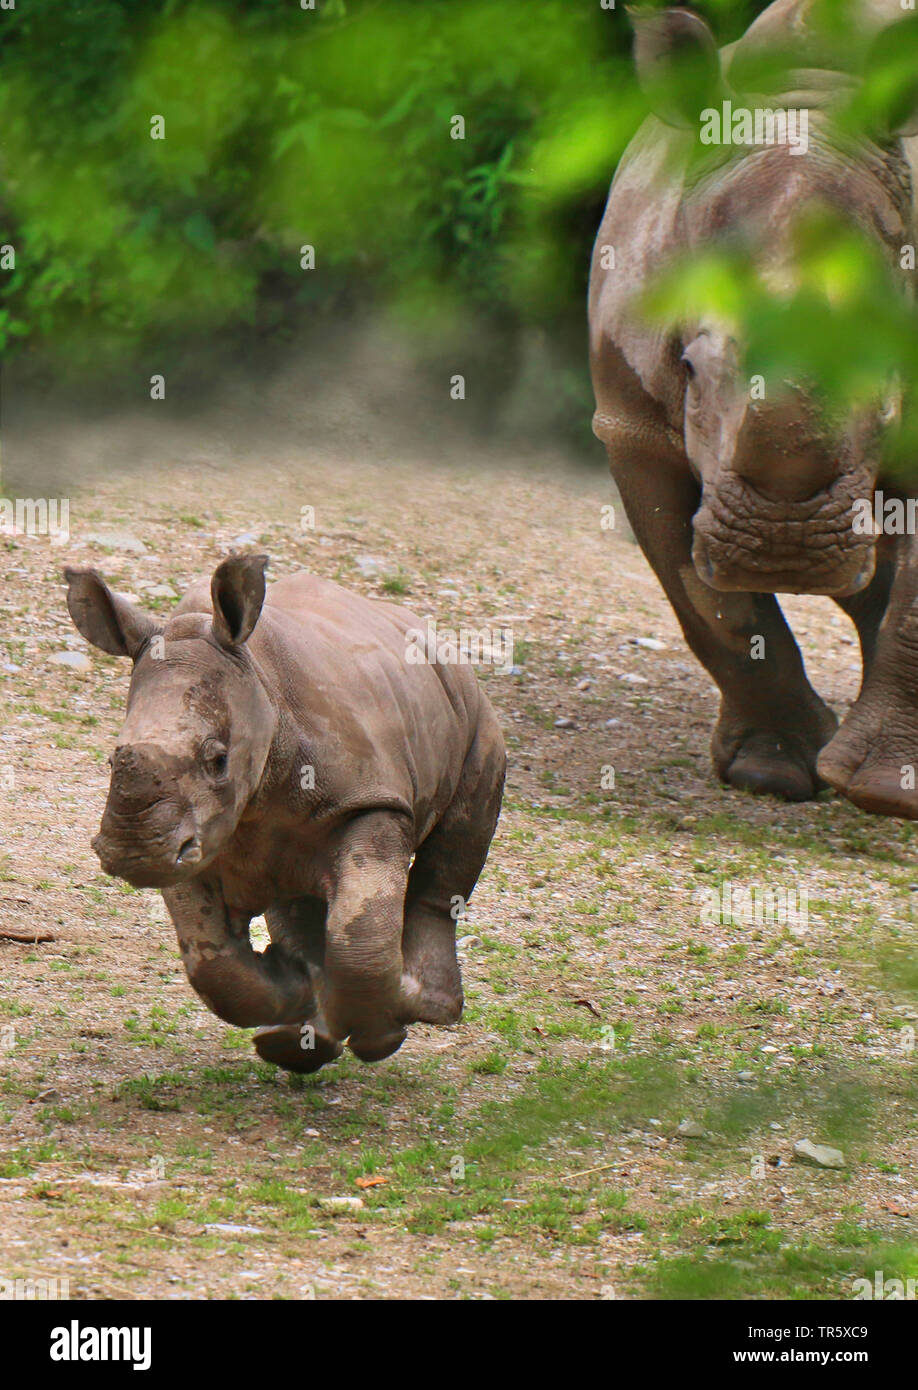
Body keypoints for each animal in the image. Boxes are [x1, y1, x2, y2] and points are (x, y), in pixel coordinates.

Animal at [64, 555, 505, 1073]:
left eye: (219, 760)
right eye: (113, 759)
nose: (131, 851)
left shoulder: (368, 800)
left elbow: (358, 931)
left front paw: (380, 1034)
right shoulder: (196, 837)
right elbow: (211, 959)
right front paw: (291, 987)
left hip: (474, 713)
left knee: (453, 850)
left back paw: (425, 1007)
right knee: (295, 891)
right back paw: (296, 1039)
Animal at [590, 0, 918, 802]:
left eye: (887, 379)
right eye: (689, 371)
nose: (783, 545)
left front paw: (885, 791)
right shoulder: (631, 424)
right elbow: (712, 606)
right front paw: (770, 776)